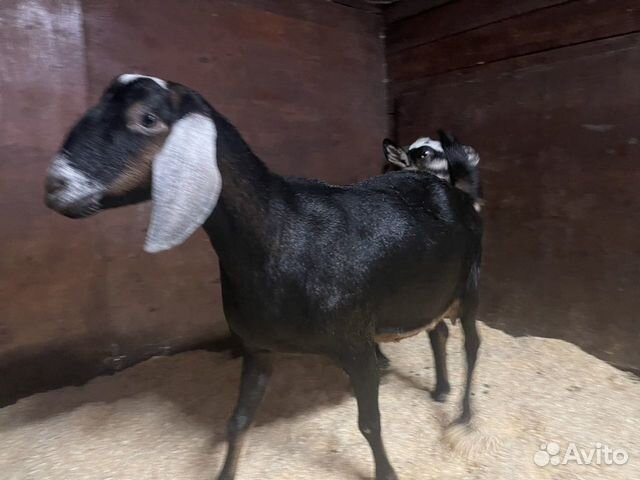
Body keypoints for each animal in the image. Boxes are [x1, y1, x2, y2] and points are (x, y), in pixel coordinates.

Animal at [44, 74, 482, 480]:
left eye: (147, 118)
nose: (56, 185)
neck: (283, 232)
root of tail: (454, 190)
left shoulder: (356, 346)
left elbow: (369, 423)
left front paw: (387, 473)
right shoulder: (257, 347)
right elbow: (237, 422)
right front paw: (224, 473)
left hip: (469, 284)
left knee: (472, 344)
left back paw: (463, 417)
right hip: (427, 294)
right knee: (438, 332)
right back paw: (441, 390)